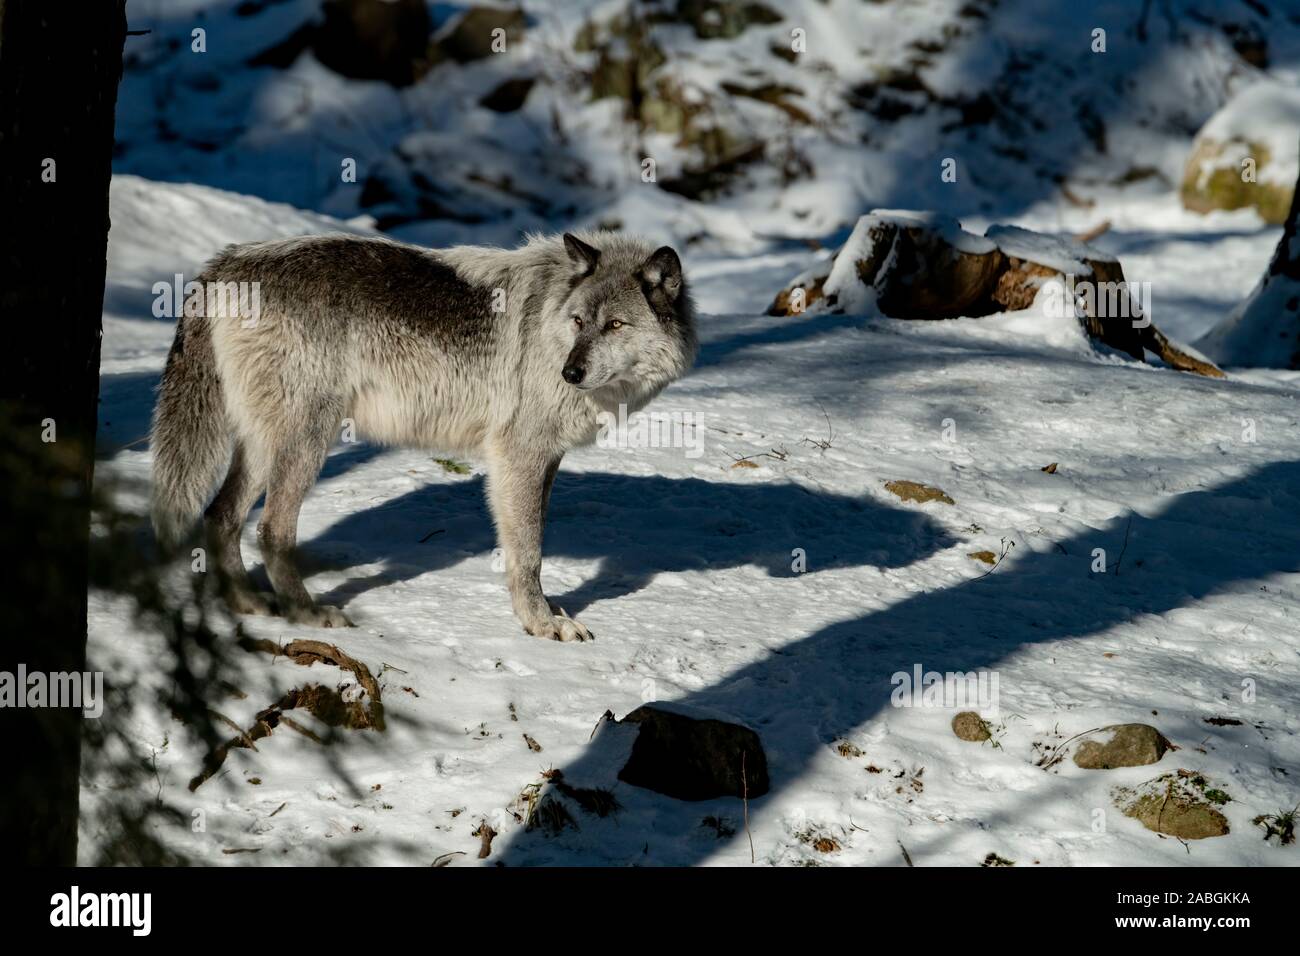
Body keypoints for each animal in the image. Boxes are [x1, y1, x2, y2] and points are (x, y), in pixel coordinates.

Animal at [151, 231, 696, 641]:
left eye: (615, 325)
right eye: (581, 321)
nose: (571, 372)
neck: (550, 325)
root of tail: (225, 263)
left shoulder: (545, 459)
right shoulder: (518, 455)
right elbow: (528, 555)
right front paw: (543, 626)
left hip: (264, 445)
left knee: (221, 514)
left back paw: (246, 603)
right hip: (307, 441)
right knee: (271, 530)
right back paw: (307, 615)